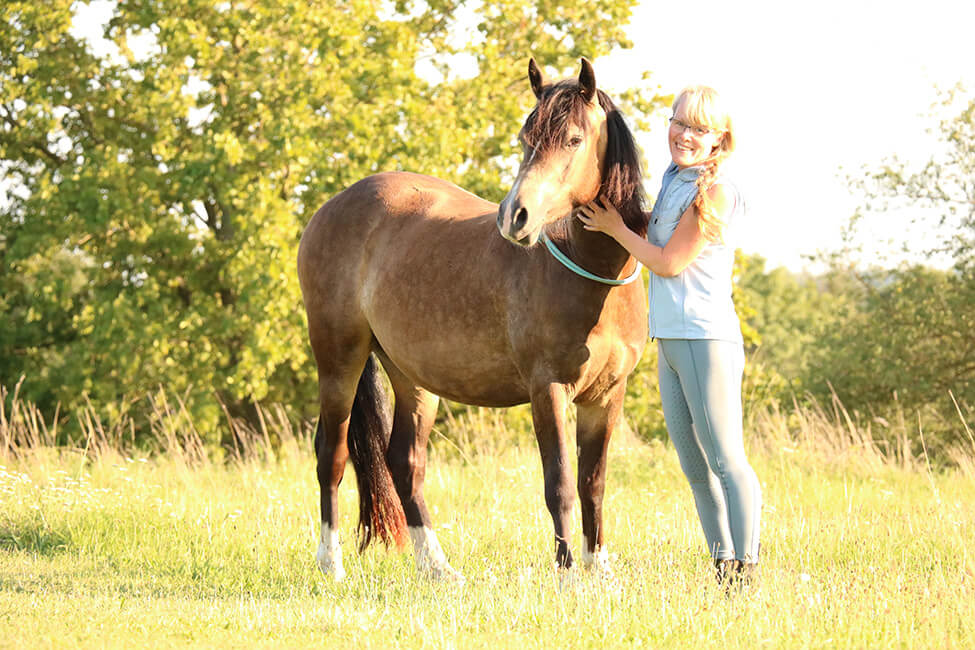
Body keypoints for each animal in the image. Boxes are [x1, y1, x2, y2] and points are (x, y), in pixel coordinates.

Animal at [297, 58, 649, 581]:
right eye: (526, 138)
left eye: (573, 139)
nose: (515, 217)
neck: (590, 273)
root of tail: (331, 207)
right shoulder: (548, 389)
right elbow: (561, 484)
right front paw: (568, 574)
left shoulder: (606, 396)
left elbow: (594, 484)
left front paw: (600, 570)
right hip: (339, 359)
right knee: (332, 456)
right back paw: (331, 564)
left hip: (413, 379)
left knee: (405, 463)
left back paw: (437, 567)